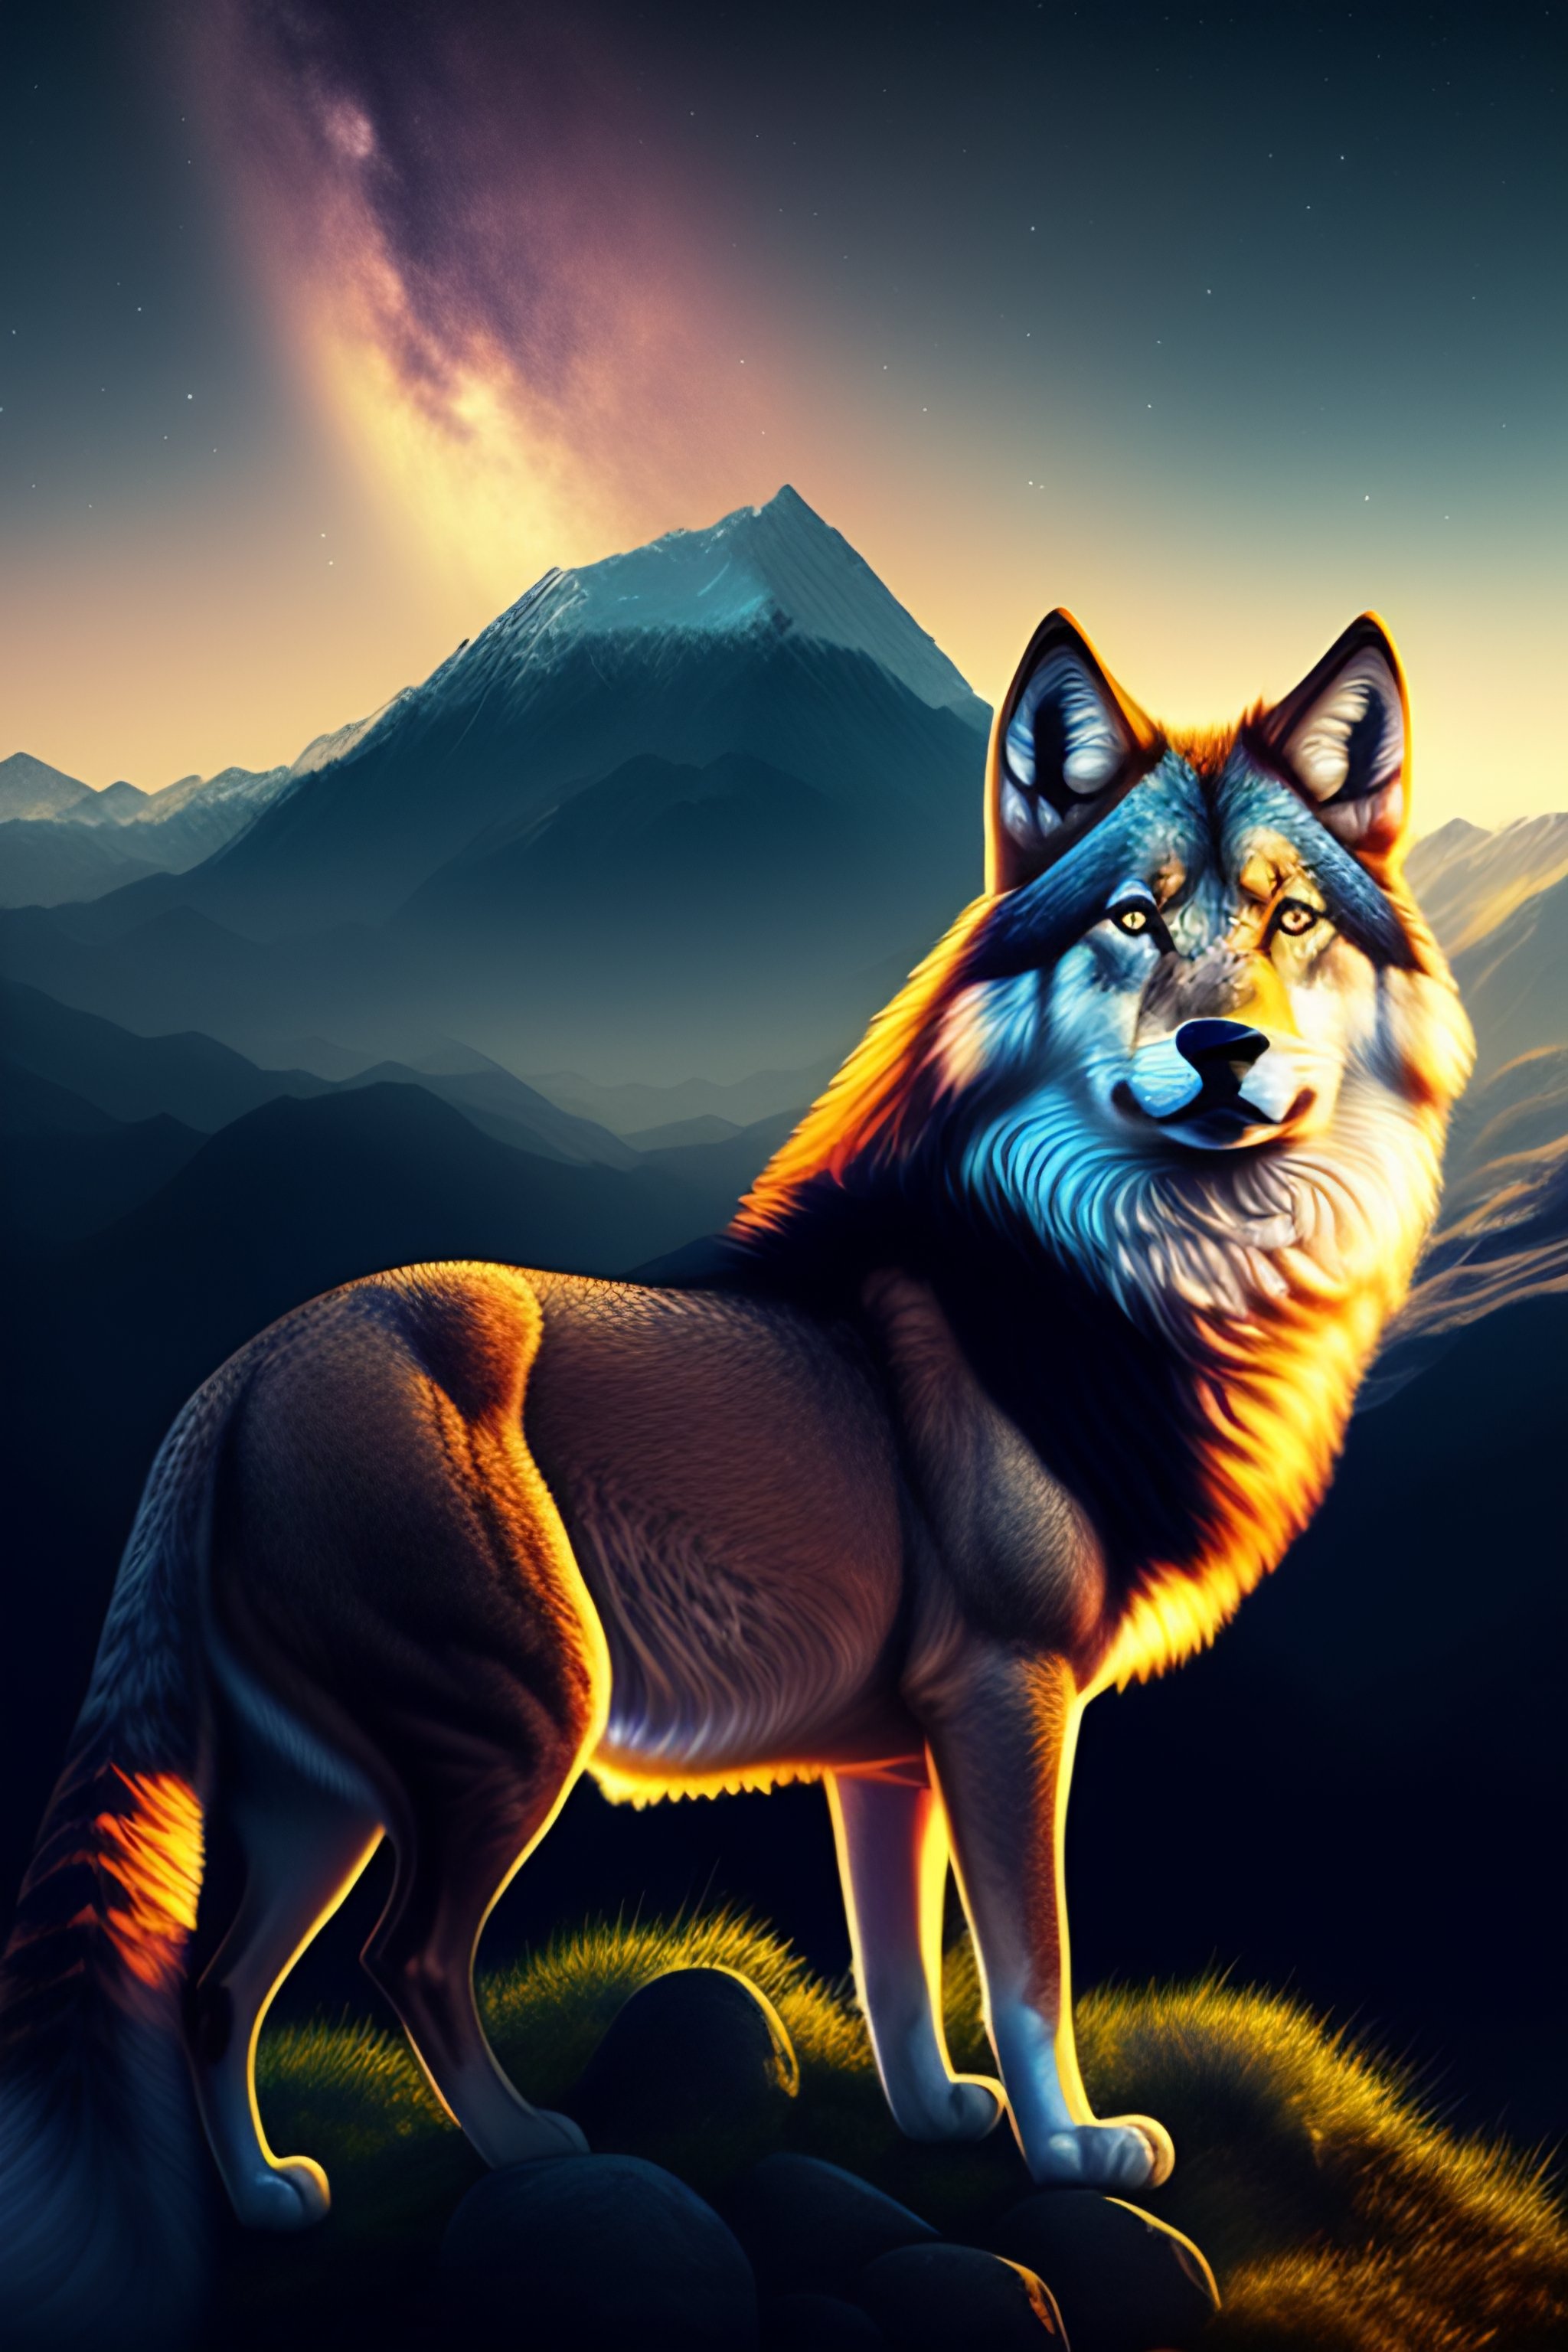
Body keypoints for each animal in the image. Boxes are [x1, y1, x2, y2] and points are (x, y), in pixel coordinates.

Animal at [0, 610, 1472, 2342]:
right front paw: (1073, 2149)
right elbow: (1030, 1962)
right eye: (1133, 917)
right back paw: (524, 2148)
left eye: (1286, 916)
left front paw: (934, 2119)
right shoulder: (1009, 1697)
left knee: (213, 1987)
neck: (1124, 1281)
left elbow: (897, 1966)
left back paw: (264, 2203)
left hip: (322, 1796)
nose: (1222, 1048)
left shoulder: (892, 1757)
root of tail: (227, 1383)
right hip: (510, 1734)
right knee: (403, 1961)